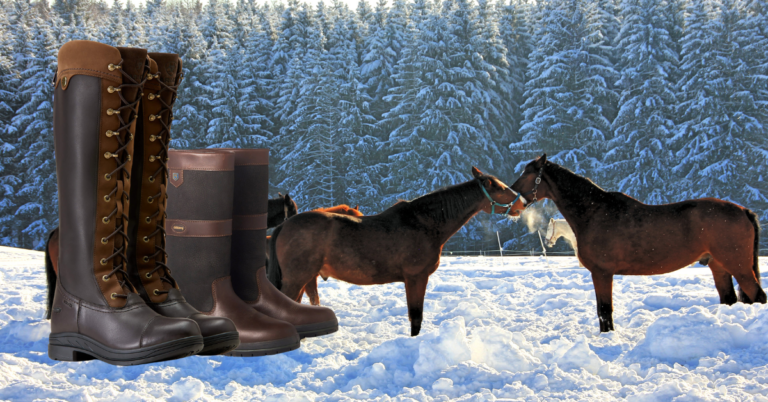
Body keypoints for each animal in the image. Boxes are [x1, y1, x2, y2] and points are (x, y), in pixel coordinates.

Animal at [267, 167, 526, 336]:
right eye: (502, 188)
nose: (523, 203)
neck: (424, 223)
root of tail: (284, 225)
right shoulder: (416, 278)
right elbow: (416, 316)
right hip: (297, 278)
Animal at [510, 154, 766, 332]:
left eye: (528, 175)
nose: (512, 203)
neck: (595, 213)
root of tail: (743, 210)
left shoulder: (602, 273)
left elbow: (604, 310)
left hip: (740, 267)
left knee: (758, 296)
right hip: (719, 266)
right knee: (730, 299)